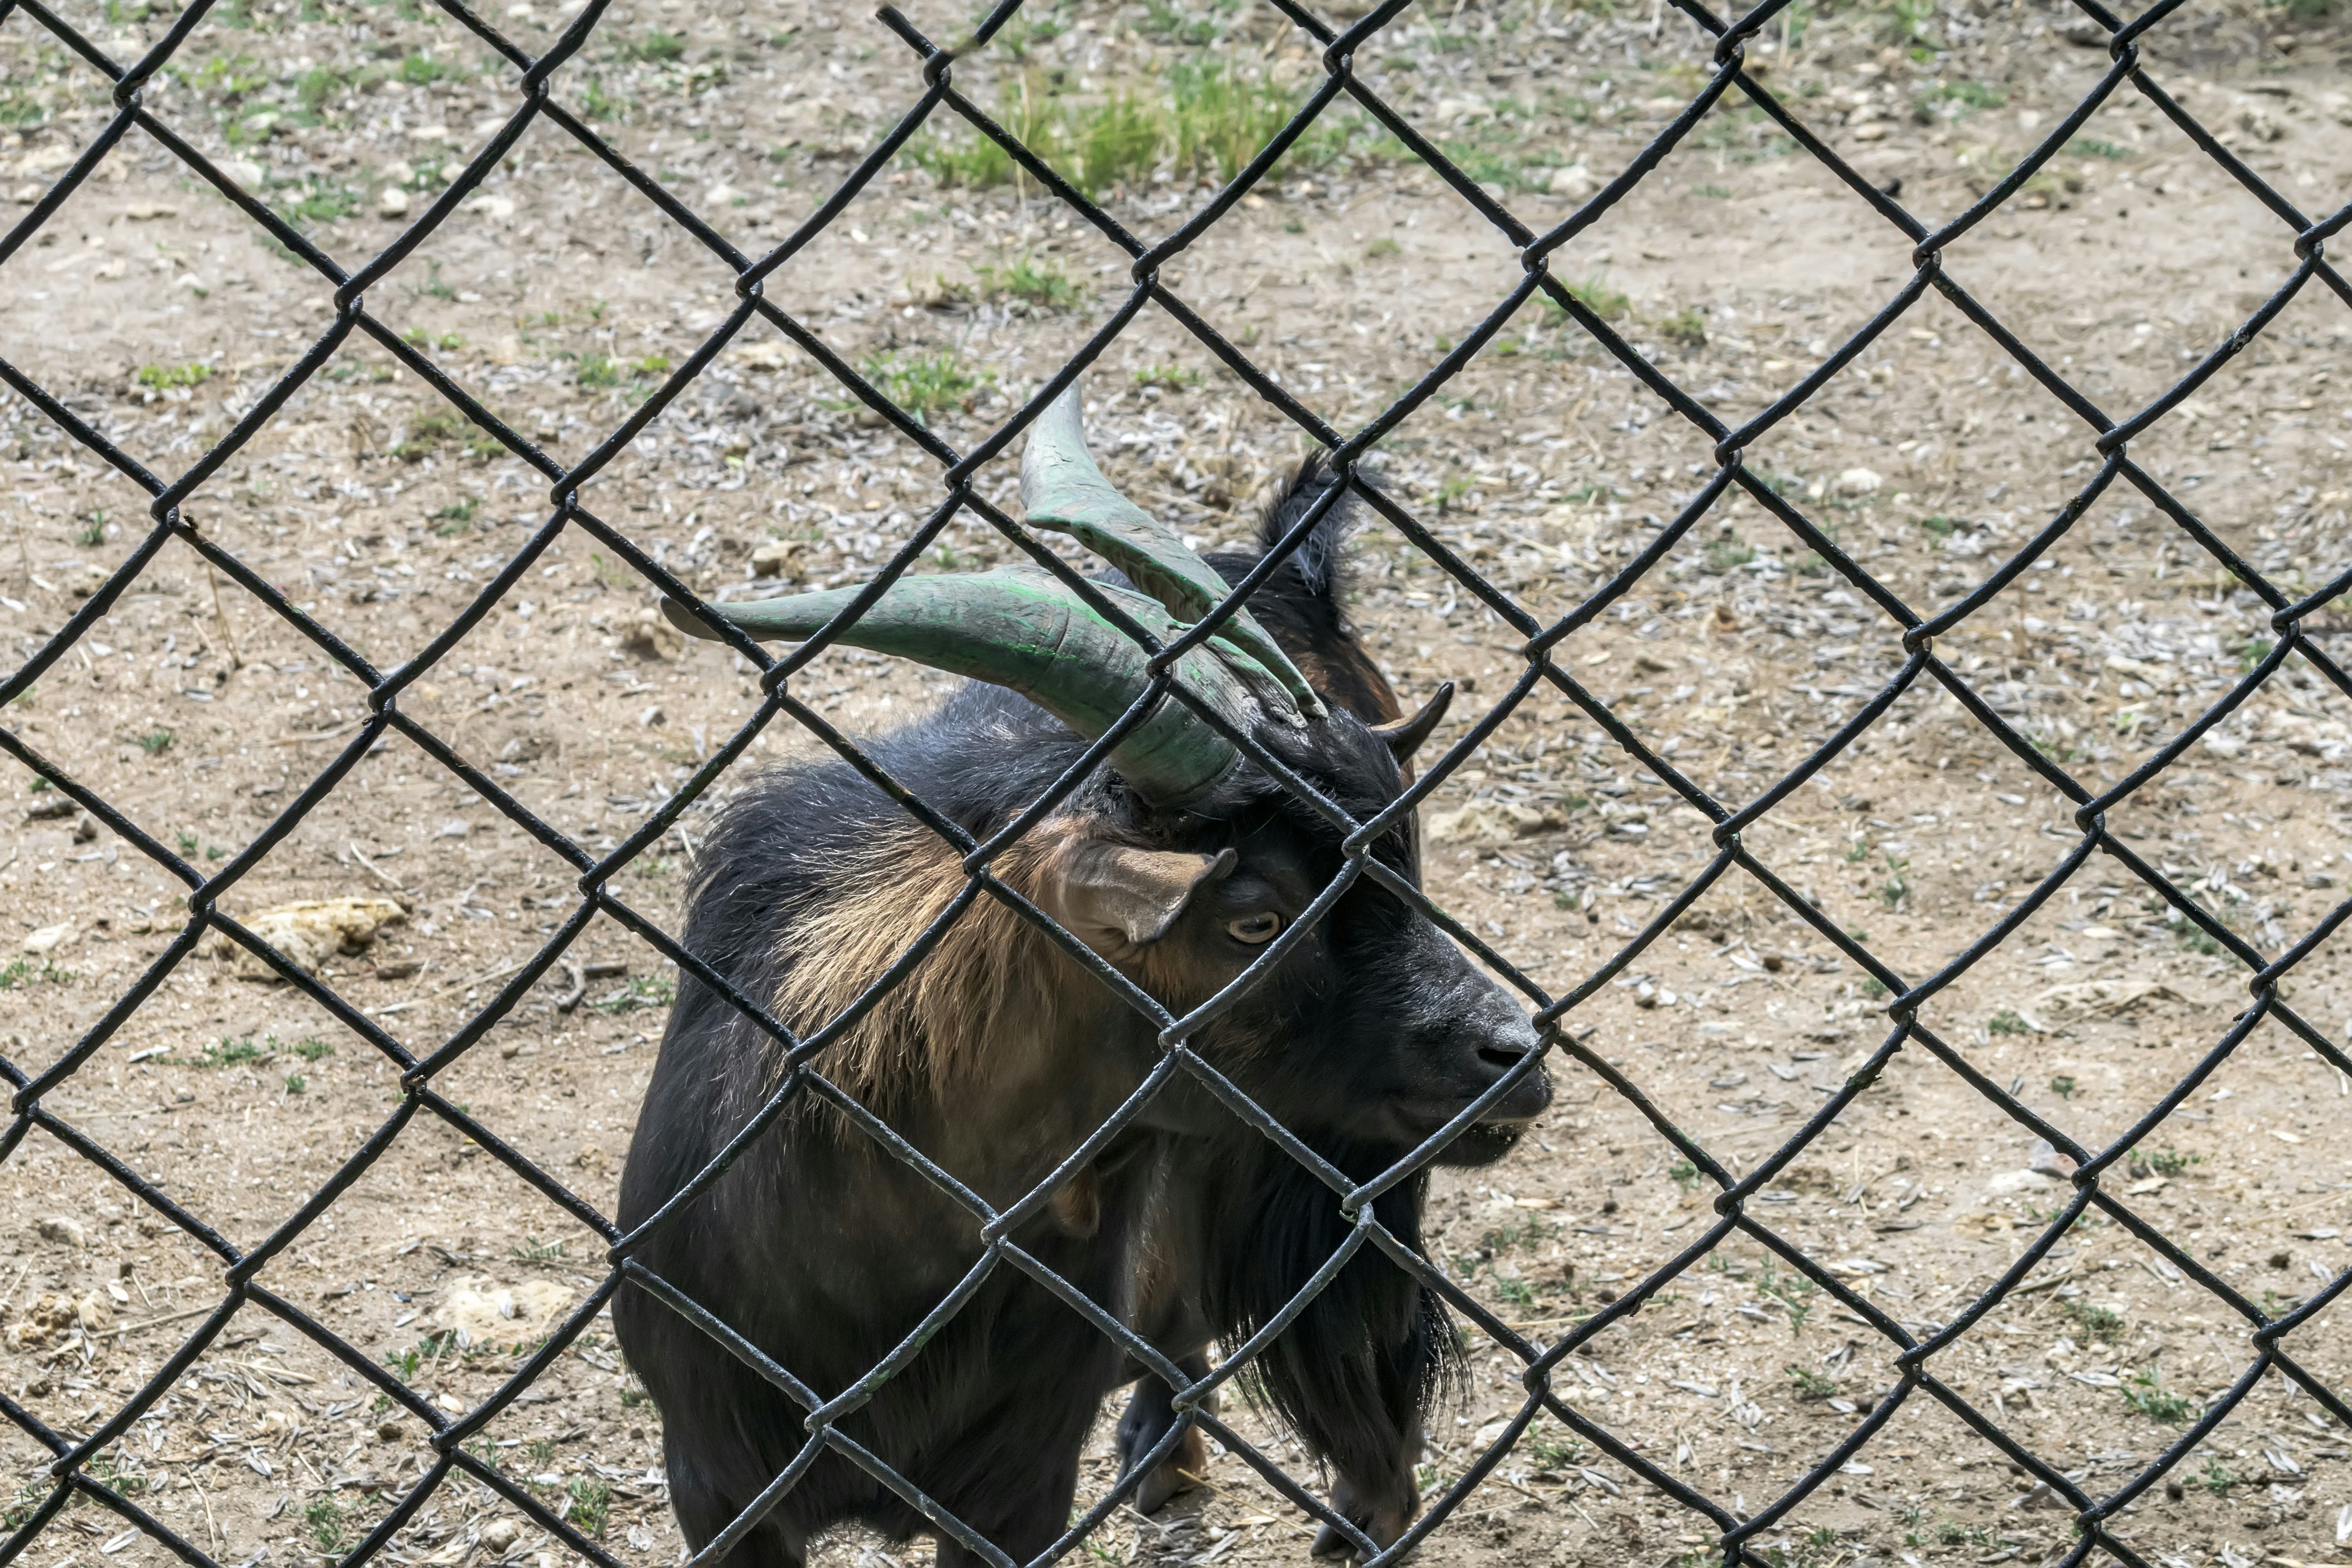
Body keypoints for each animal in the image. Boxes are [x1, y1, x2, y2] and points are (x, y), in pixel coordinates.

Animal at [613, 387, 1553, 1568]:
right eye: (1255, 921)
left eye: (1397, 860)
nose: (1512, 1056)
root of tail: (1287, 565)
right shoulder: (717, 1479)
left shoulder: (1019, 1481)